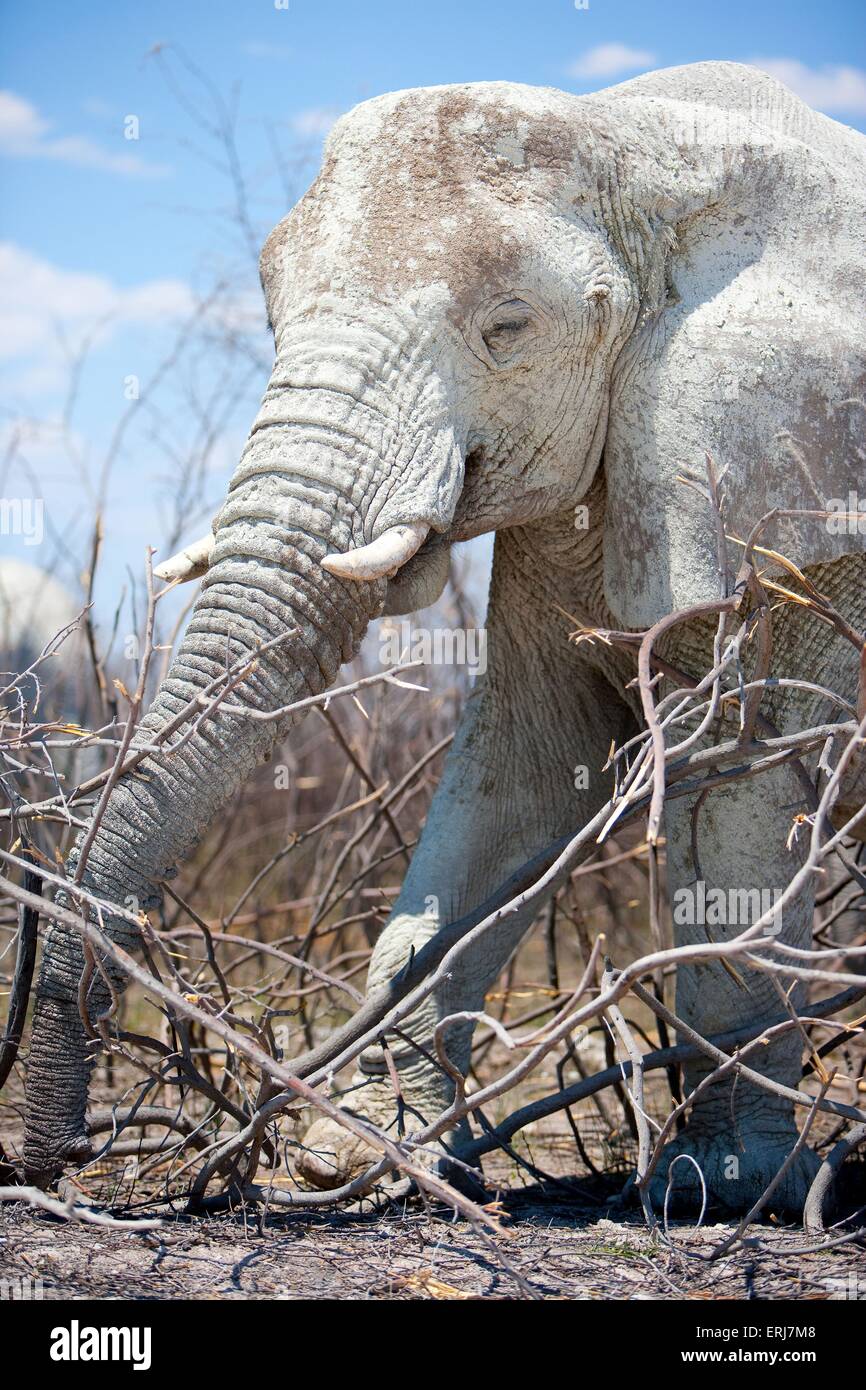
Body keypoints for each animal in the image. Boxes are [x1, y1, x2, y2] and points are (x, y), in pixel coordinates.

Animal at [21, 61, 866, 1211]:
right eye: (270, 303)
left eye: (508, 327)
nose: (60, 1157)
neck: (642, 137)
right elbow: (528, 766)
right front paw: (364, 1160)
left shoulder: (791, 489)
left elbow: (743, 773)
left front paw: (724, 1188)